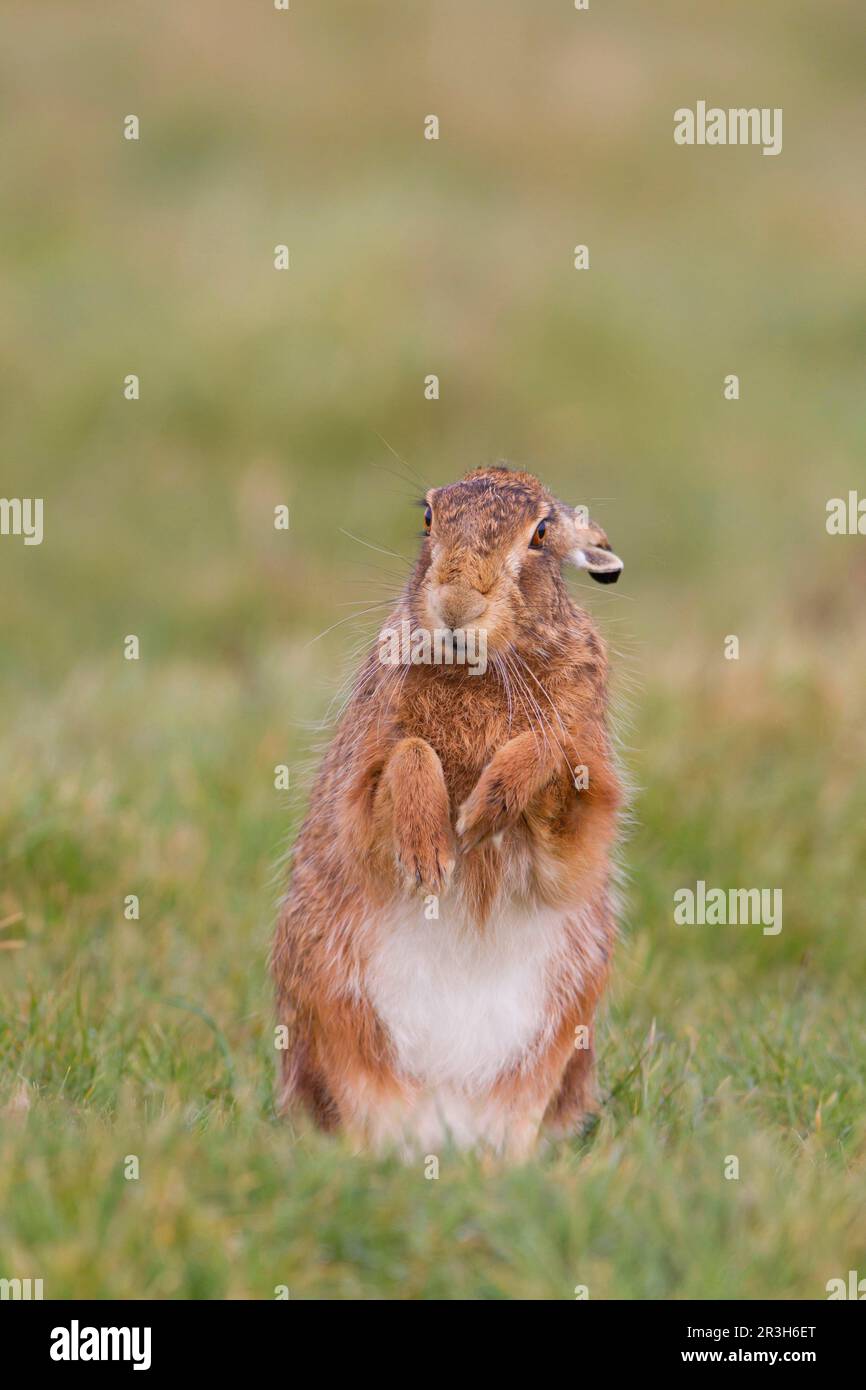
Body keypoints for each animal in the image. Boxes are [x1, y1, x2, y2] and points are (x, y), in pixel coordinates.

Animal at [271, 464, 625, 1159]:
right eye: (430, 518)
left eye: (540, 534)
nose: (457, 605)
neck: (479, 669)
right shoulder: (358, 789)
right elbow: (409, 754)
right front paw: (431, 856)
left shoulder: (584, 805)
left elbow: (548, 751)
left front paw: (485, 811)